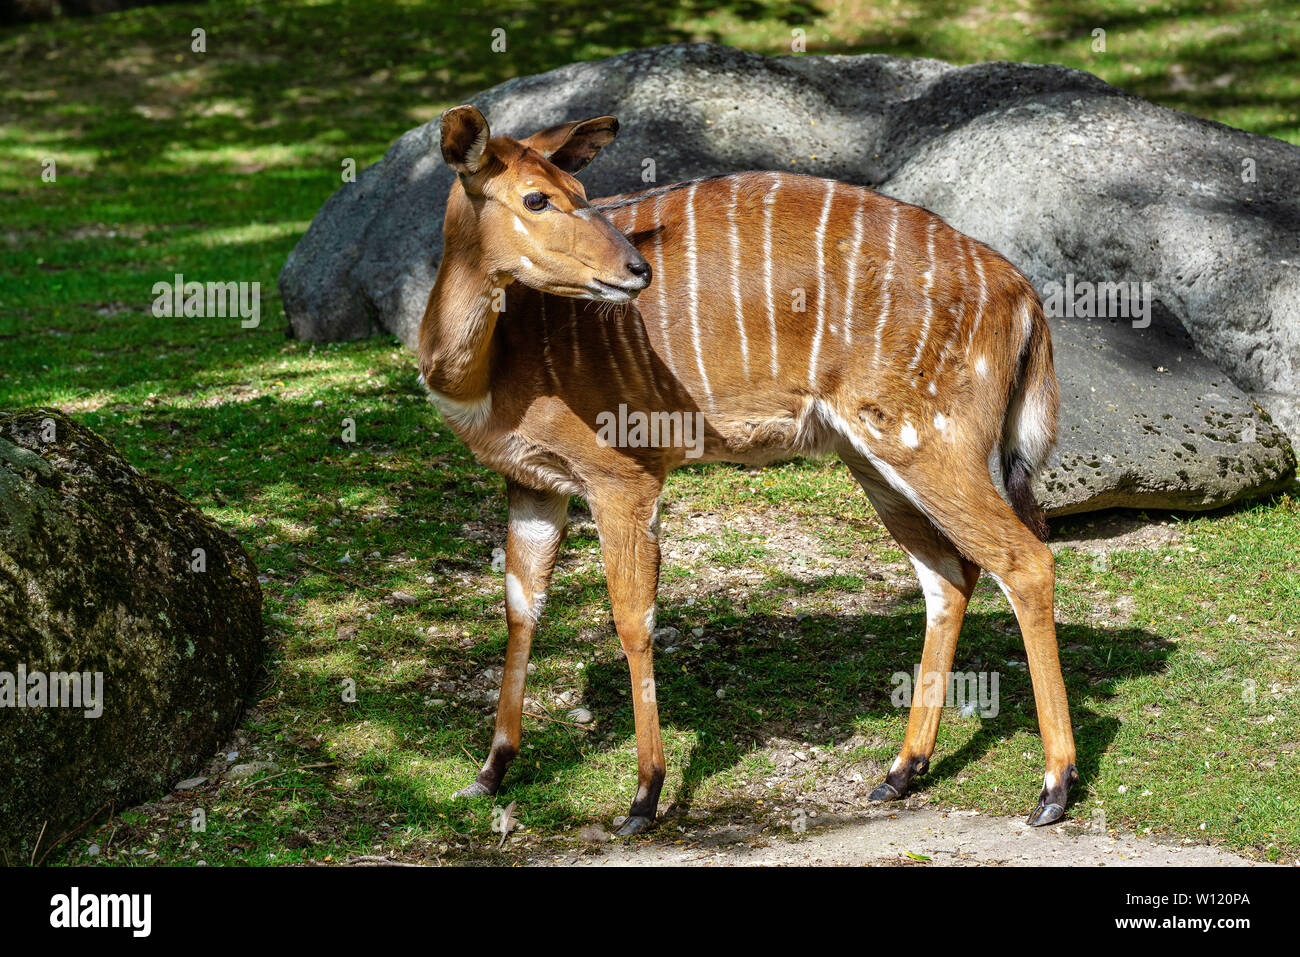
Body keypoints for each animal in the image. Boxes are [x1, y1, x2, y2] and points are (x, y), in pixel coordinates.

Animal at [419, 104, 1077, 836]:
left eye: (583, 192)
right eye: (536, 197)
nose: (636, 268)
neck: (493, 367)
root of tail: (1023, 295)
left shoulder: (623, 475)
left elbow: (633, 618)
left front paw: (644, 797)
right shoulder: (533, 482)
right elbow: (520, 608)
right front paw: (489, 773)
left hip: (929, 443)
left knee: (1024, 560)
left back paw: (1054, 788)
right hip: (874, 456)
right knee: (949, 575)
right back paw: (900, 772)